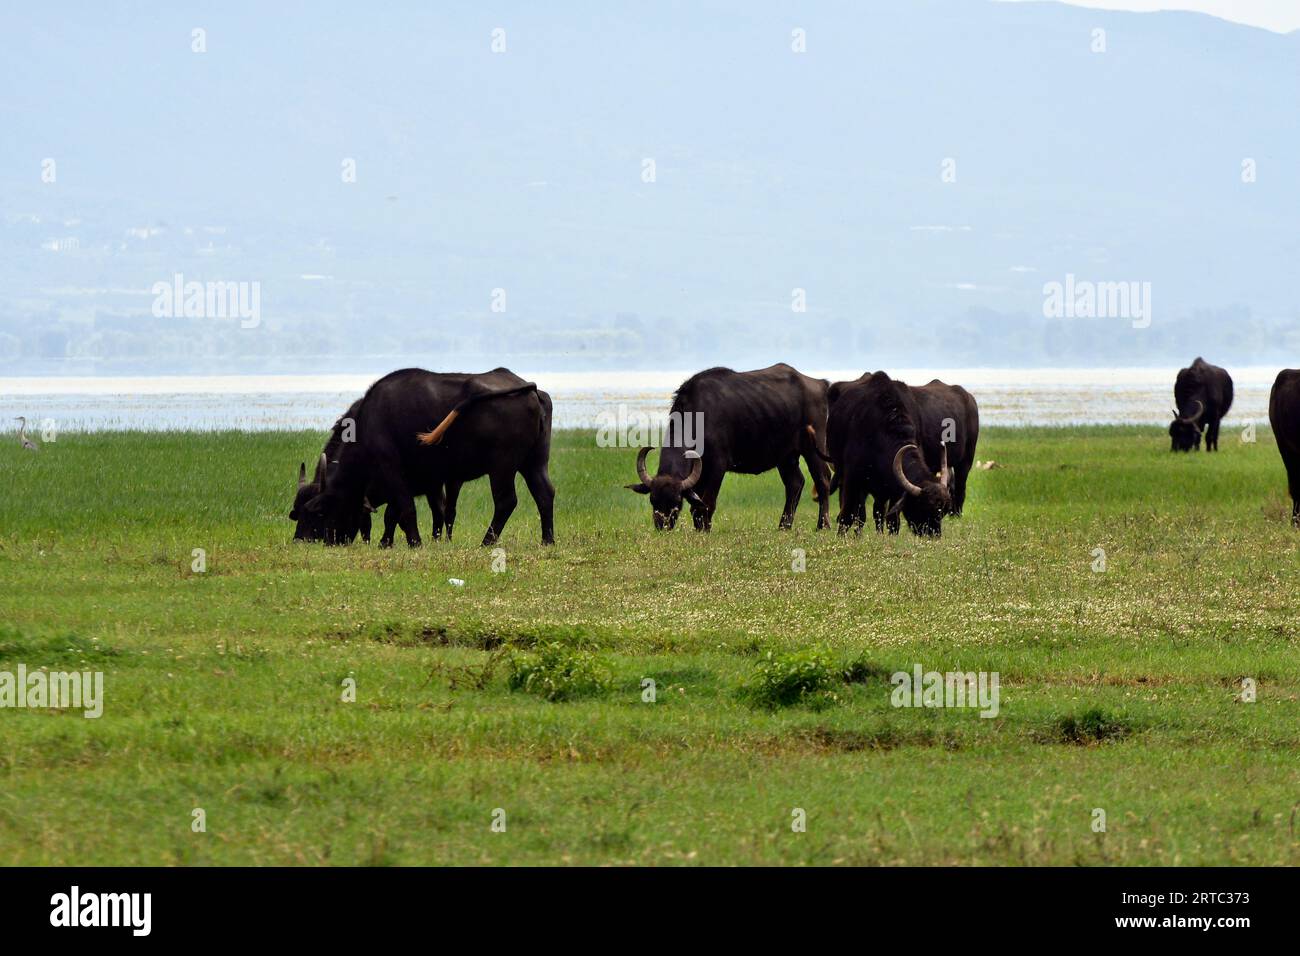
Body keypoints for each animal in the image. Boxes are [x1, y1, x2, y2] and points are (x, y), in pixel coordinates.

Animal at [301, 368, 555, 547]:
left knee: (506, 501)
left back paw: (486, 542)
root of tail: (529, 389)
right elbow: (399, 512)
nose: (328, 541)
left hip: (502, 466)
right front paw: (388, 542)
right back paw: (547, 540)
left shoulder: (391, 467)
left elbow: (405, 509)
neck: (367, 422)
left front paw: (415, 542)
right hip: (534, 462)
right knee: (544, 493)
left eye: (320, 511)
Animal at [625, 363, 832, 531]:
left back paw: (823, 525)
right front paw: (699, 529)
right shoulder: (699, 474)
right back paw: (783, 526)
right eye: (653, 500)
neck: (698, 416)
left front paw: (705, 530)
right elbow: (696, 507)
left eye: (677, 501)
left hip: (814, 448)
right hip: (786, 457)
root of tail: (821, 385)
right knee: (795, 483)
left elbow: (707, 503)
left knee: (823, 480)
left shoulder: (718, 466)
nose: (662, 525)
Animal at [820, 371, 978, 537]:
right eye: (921, 508)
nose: (934, 535)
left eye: (942, 512)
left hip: (965, 462)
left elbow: (891, 520)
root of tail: (969, 399)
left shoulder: (893, 488)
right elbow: (848, 515)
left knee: (960, 491)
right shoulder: (852, 479)